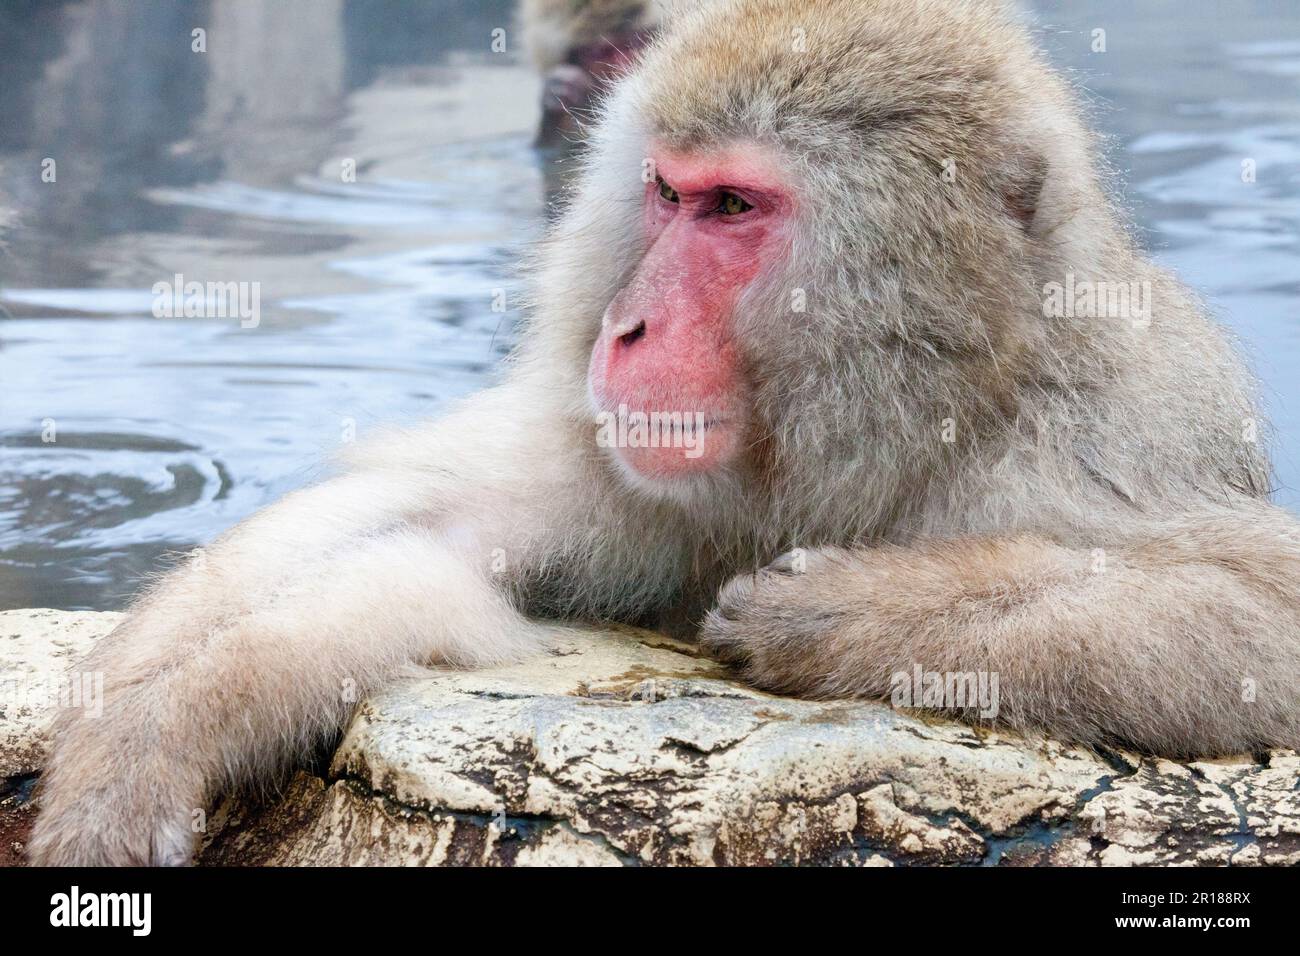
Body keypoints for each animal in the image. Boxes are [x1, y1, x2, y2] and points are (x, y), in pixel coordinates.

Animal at [30, 0, 1300, 866]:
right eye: (665, 192)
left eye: (733, 206)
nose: (625, 325)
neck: (907, 427)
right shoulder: (630, 460)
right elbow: (425, 534)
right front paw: (145, 728)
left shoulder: (1113, 432)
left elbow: (1259, 618)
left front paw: (827, 613)